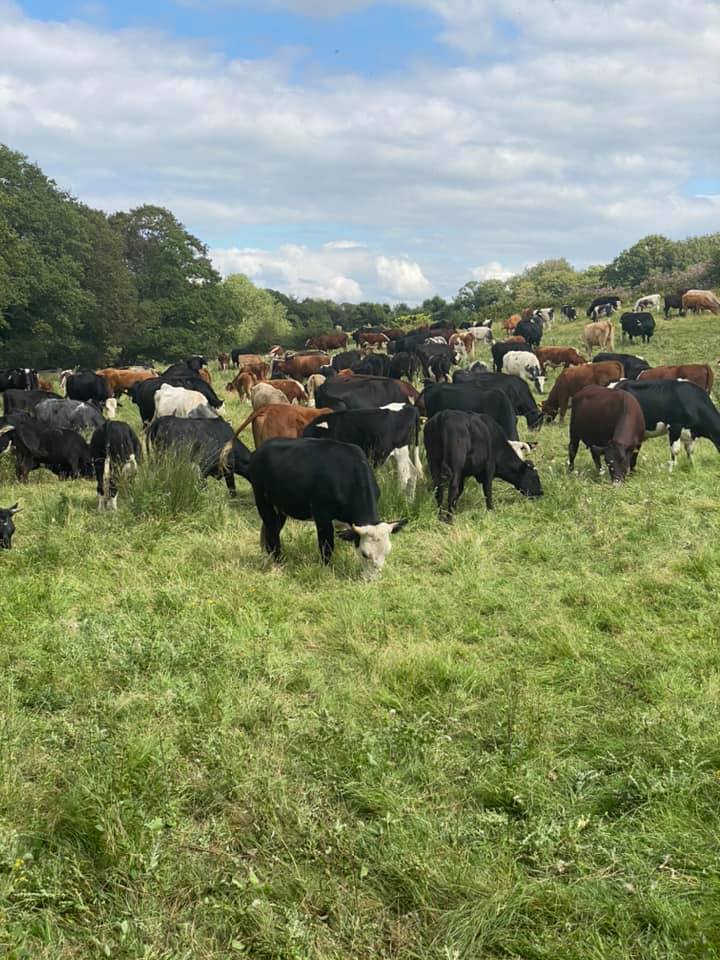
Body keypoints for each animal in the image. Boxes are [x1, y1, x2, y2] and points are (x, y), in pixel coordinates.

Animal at [248, 438, 406, 576]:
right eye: (364, 554)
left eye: (387, 552)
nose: (372, 580)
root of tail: (262, 448)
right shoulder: (322, 516)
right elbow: (326, 546)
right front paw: (326, 569)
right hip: (262, 501)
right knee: (272, 531)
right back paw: (277, 561)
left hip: (281, 507)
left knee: (271, 529)